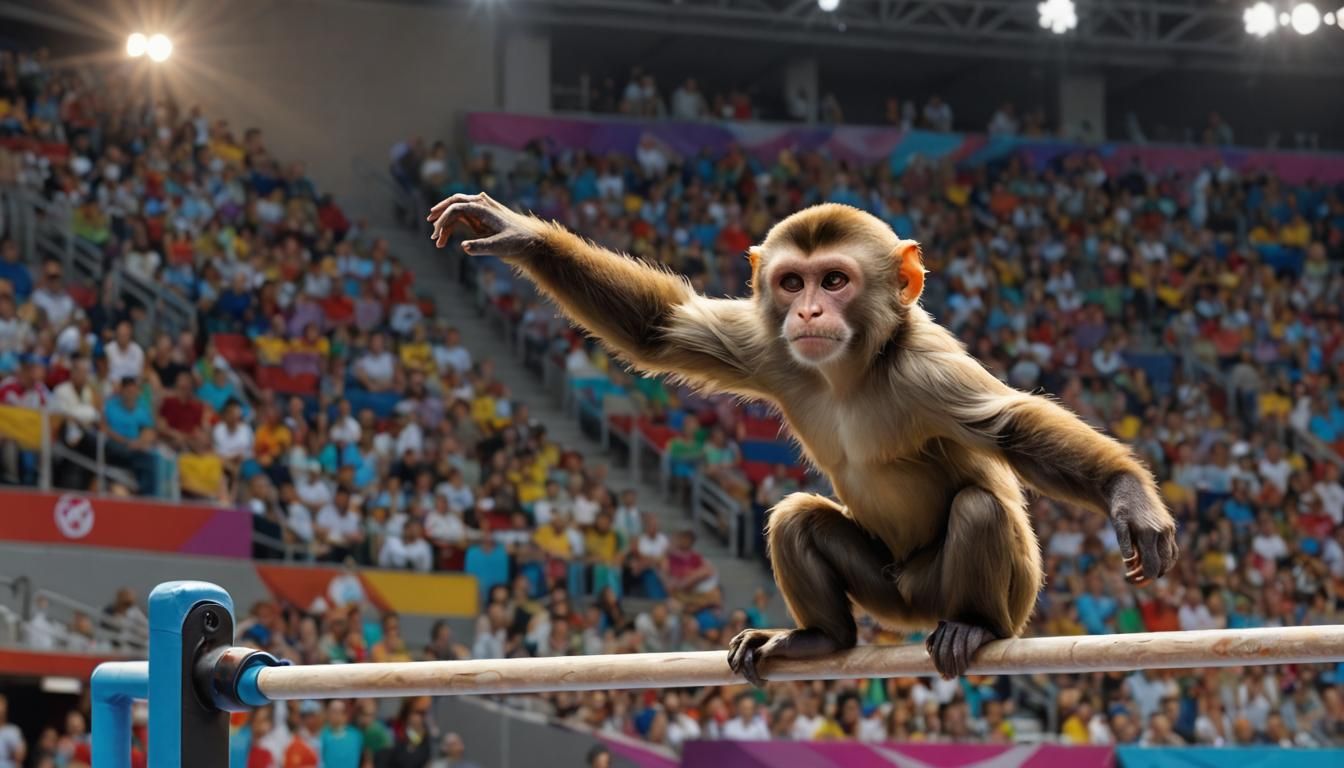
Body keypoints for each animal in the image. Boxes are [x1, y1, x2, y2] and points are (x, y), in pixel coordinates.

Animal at [428, 193, 1178, 682]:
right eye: (792, 282)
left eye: (835, 280)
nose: (810, 310)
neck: (850, 374)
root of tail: (910, 611)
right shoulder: (772, 345)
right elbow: (663, 329)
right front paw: (521, 235)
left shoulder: (925, 366)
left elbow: (1011, 425)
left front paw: (1128, 495)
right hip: (883, 589)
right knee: (797, 518)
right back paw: (823, 637)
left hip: (989, 593)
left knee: (979, 509)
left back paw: (975, 627)